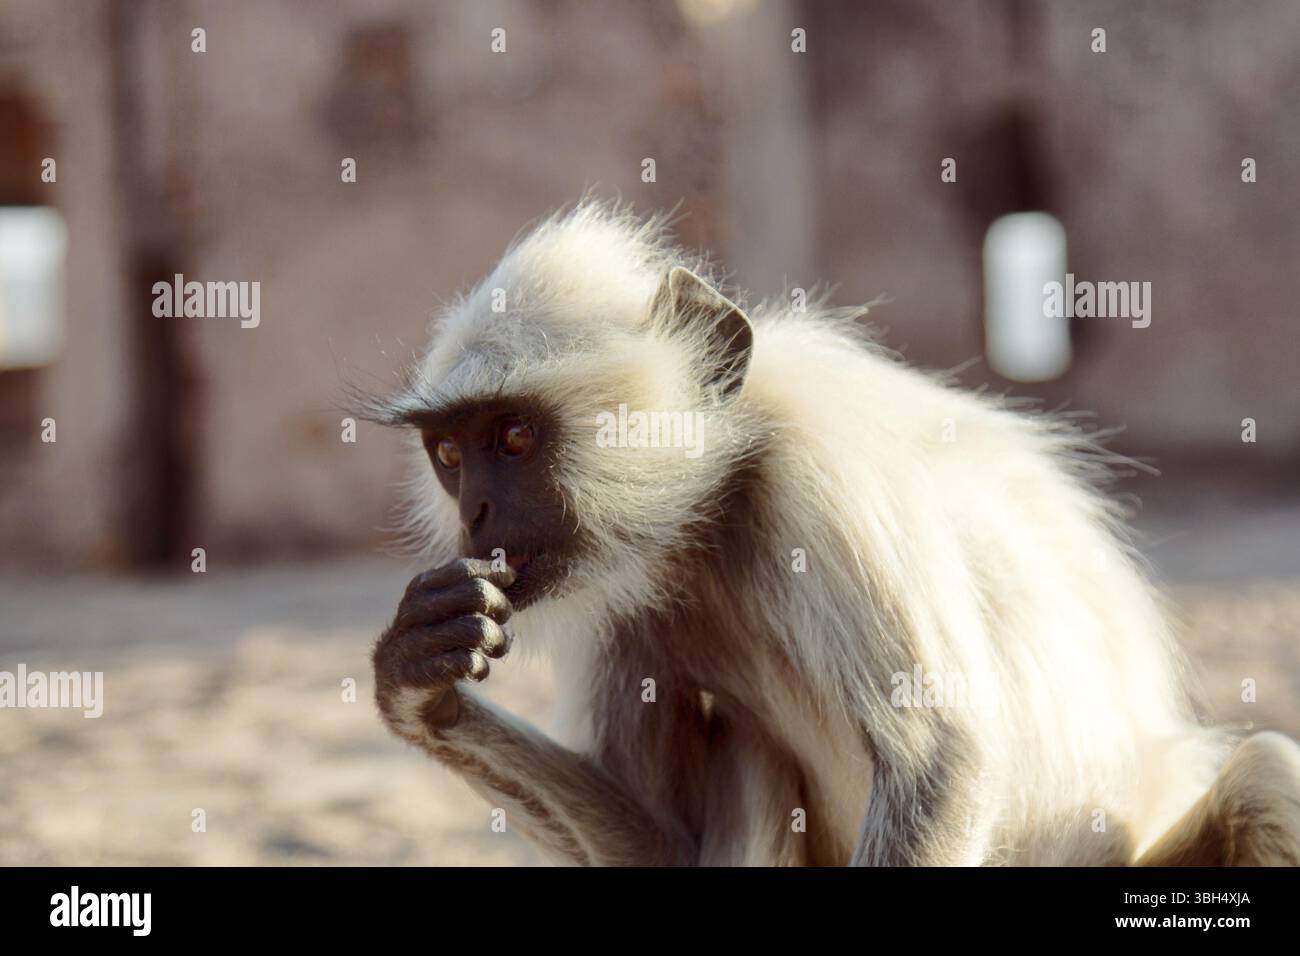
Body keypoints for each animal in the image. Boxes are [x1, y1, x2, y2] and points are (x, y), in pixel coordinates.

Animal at [367, 201, 1300, 866]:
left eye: (515, 438)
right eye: (449, 455)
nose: (475, 512)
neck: (718, 508)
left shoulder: (818, 478)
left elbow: (938, 762)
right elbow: (652, 846)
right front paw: (418, 680)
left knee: (1267, 777)